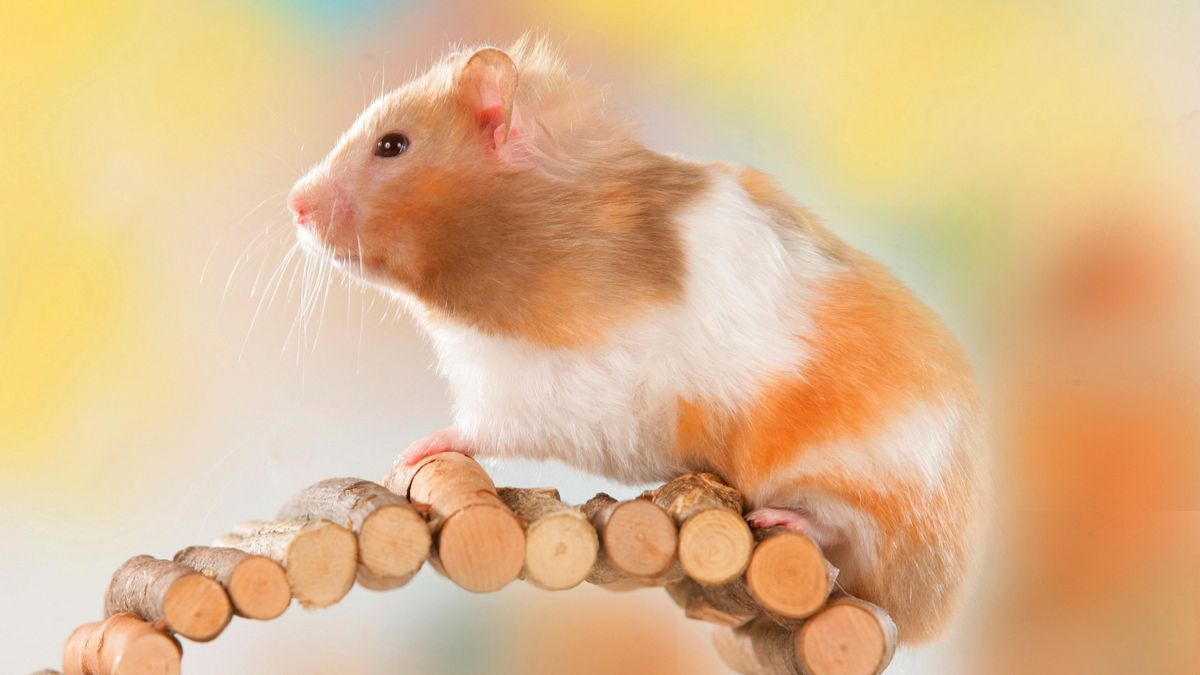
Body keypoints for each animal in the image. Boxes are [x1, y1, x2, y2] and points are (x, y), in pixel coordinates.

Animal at [287, 37, 986, 643]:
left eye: (392, 145)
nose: (294, 204)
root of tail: (937, 592)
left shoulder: (543, 387)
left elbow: (482, 427)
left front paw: (413, 450)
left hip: (847, 472)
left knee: (842, 529)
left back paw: (784, 519)